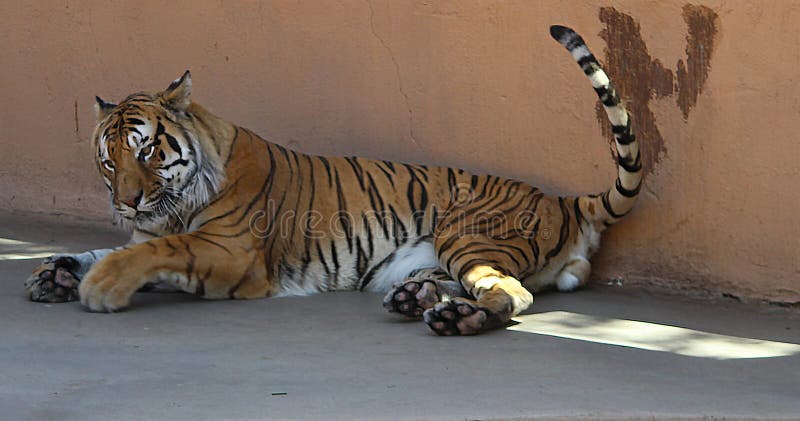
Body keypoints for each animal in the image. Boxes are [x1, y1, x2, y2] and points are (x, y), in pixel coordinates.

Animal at [24, 25, 641, 335]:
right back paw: (415, 298)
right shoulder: (152, 233)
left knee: (511, 292)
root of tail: (564, 200)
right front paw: (55, 275)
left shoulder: (228, 250)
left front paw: (98, 286)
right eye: (108, 161)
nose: (126, 203)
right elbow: (106, 249)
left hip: (467, 233)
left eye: (147, 150)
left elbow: (150, 253)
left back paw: (453, 318)